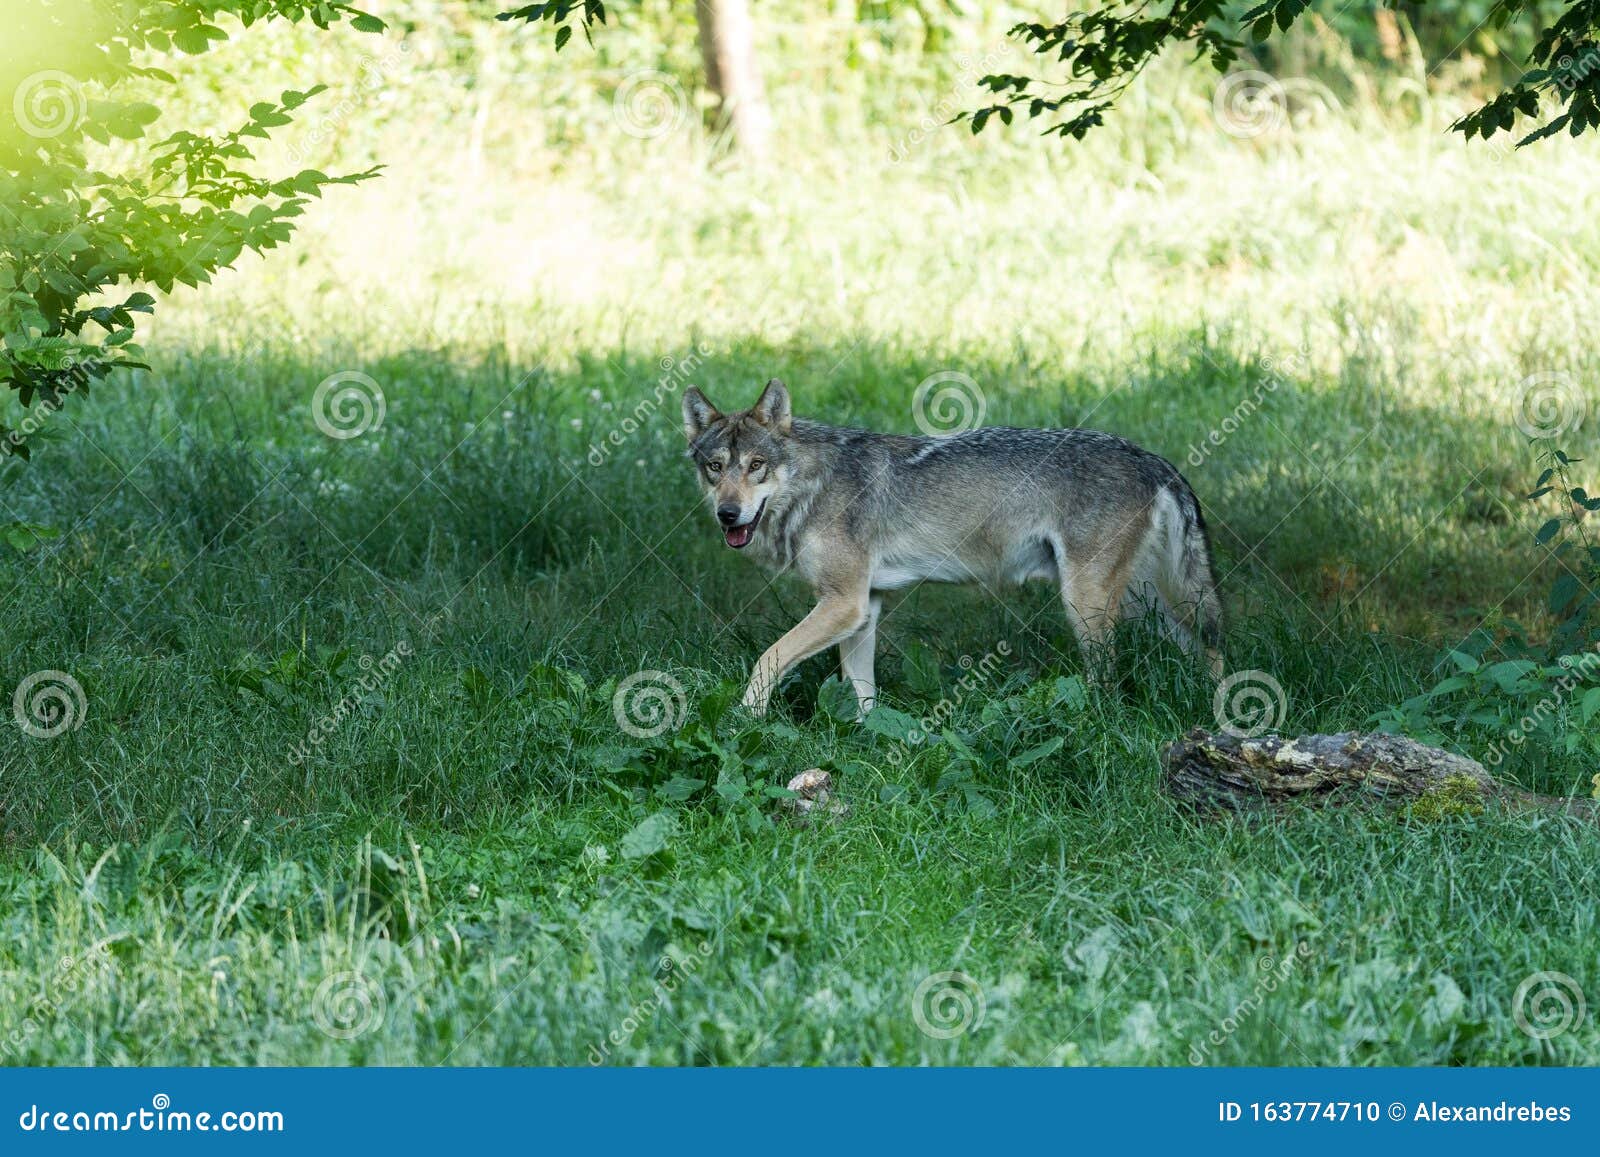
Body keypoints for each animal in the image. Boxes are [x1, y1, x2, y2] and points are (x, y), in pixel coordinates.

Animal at [682, 378, 1223, 717]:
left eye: (756, 466)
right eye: (715, 467)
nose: (727, 514)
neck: (811, 486)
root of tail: (1153, 459)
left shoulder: (843, 603)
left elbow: (767, 659)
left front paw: (744, 722)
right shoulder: (863, 609)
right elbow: (863, 693)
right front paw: (866, 740)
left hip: (1087, 607)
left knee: (1110, 681)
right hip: (1148, 606)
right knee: (1209, 650)